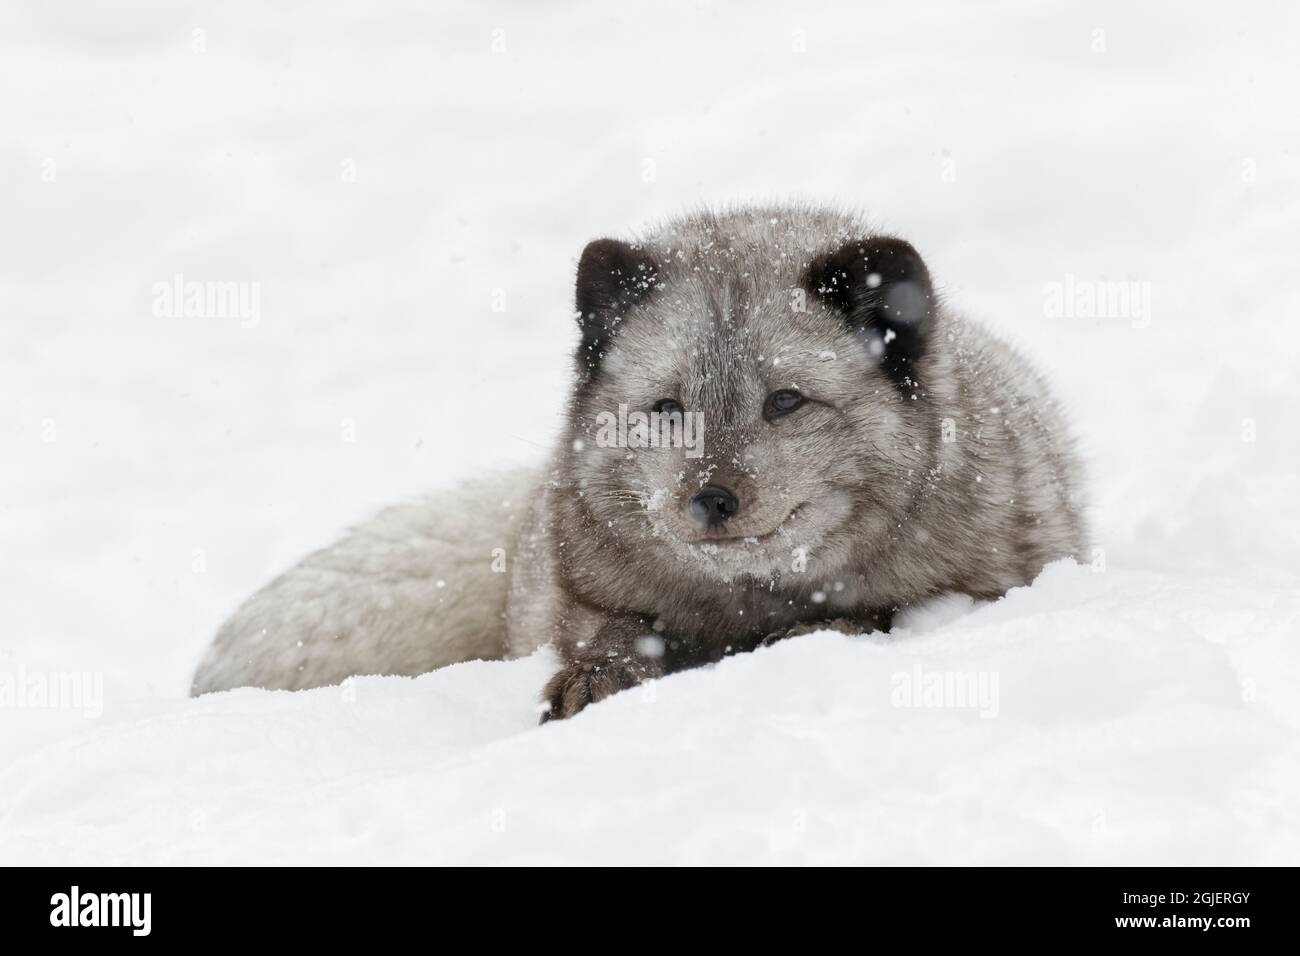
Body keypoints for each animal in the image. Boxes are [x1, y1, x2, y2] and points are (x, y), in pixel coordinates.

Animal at [191, 205, 1087, 720]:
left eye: (785, 402)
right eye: (666, 408)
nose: (711, 500)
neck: (745, 603)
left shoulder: (979, 584)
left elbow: (874, 613)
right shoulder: (583, 591)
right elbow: (609, 631)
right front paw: (598, 676)